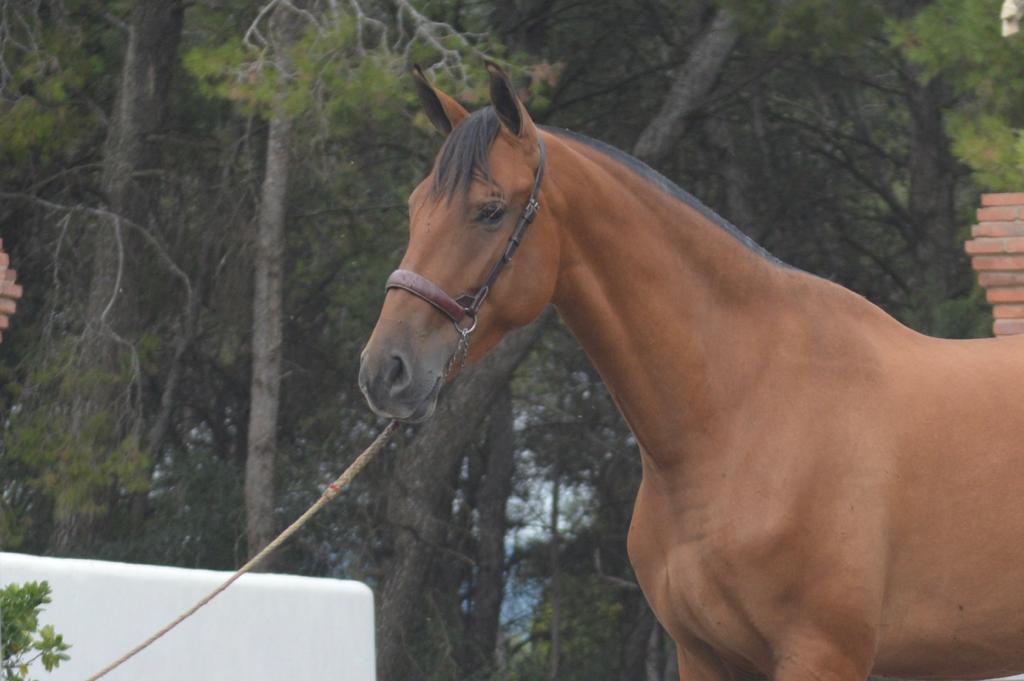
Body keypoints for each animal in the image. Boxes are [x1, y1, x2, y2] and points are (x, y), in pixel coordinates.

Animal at [359, 61, 1024, 680]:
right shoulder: (703, 655)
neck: (743, 412)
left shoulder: (821, 653)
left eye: (491, 211)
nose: (384, 370)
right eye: (416, 206)